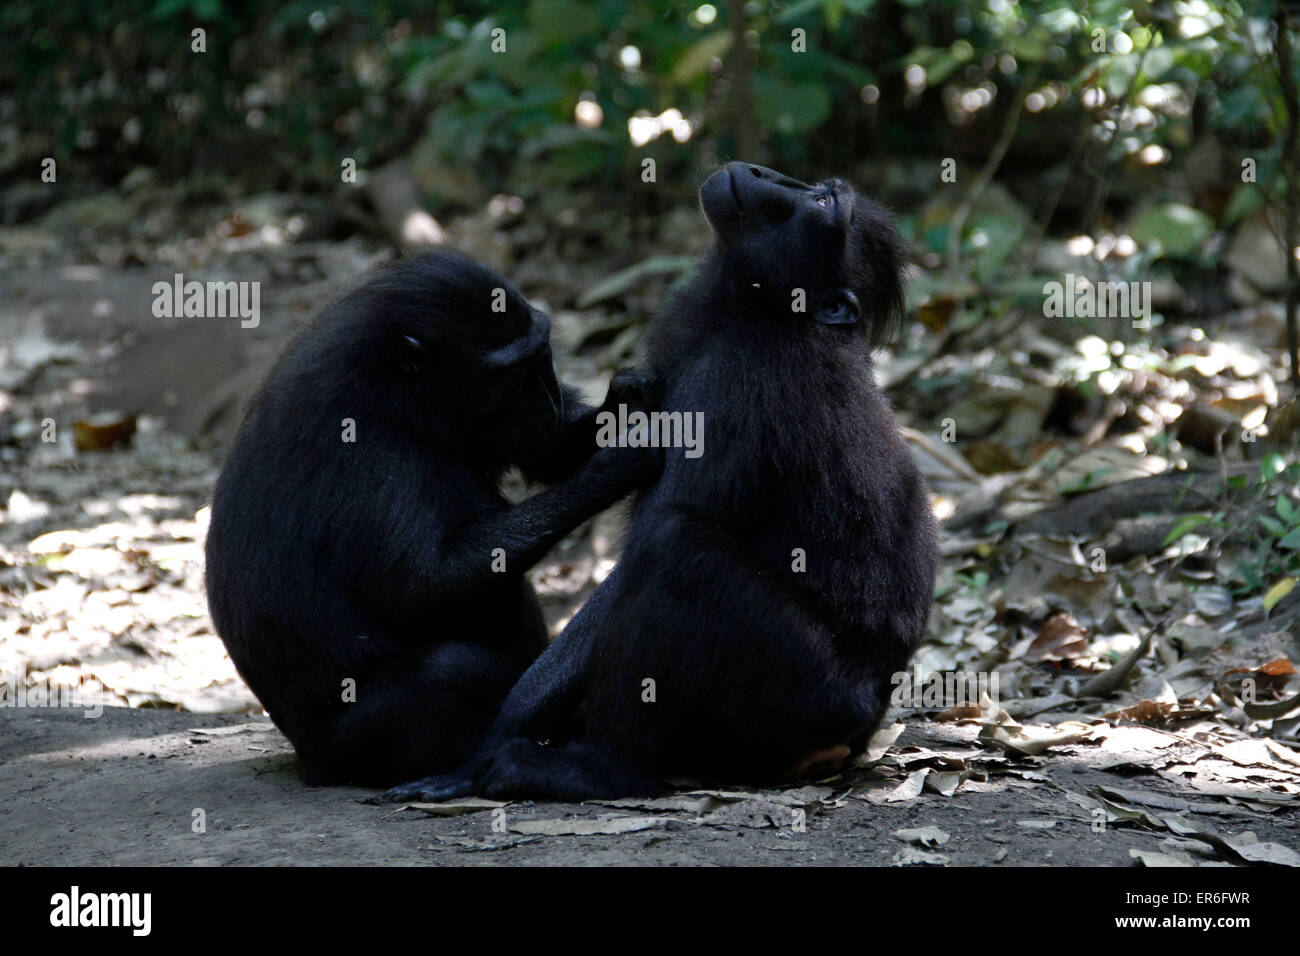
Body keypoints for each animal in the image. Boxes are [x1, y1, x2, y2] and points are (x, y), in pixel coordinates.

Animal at [204, 249, 658, 786]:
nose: (549, 404)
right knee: (447, 668)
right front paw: (617, 463)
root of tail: (308, 761)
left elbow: (552, 454)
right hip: (359, 744)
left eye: (542, 355)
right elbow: (419, 585)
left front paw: (627, 400)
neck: (395, 391)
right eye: (513, 375)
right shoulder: (372, 454)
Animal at [383, 164, 936, 801]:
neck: (766, 311)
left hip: (811, 698)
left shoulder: (734, 384)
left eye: (821, 203)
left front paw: (490, 740)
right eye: (815, 188)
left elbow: (635, 563)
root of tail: (865, 727)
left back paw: (597, 768)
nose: (757, 171)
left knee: (673, 546)